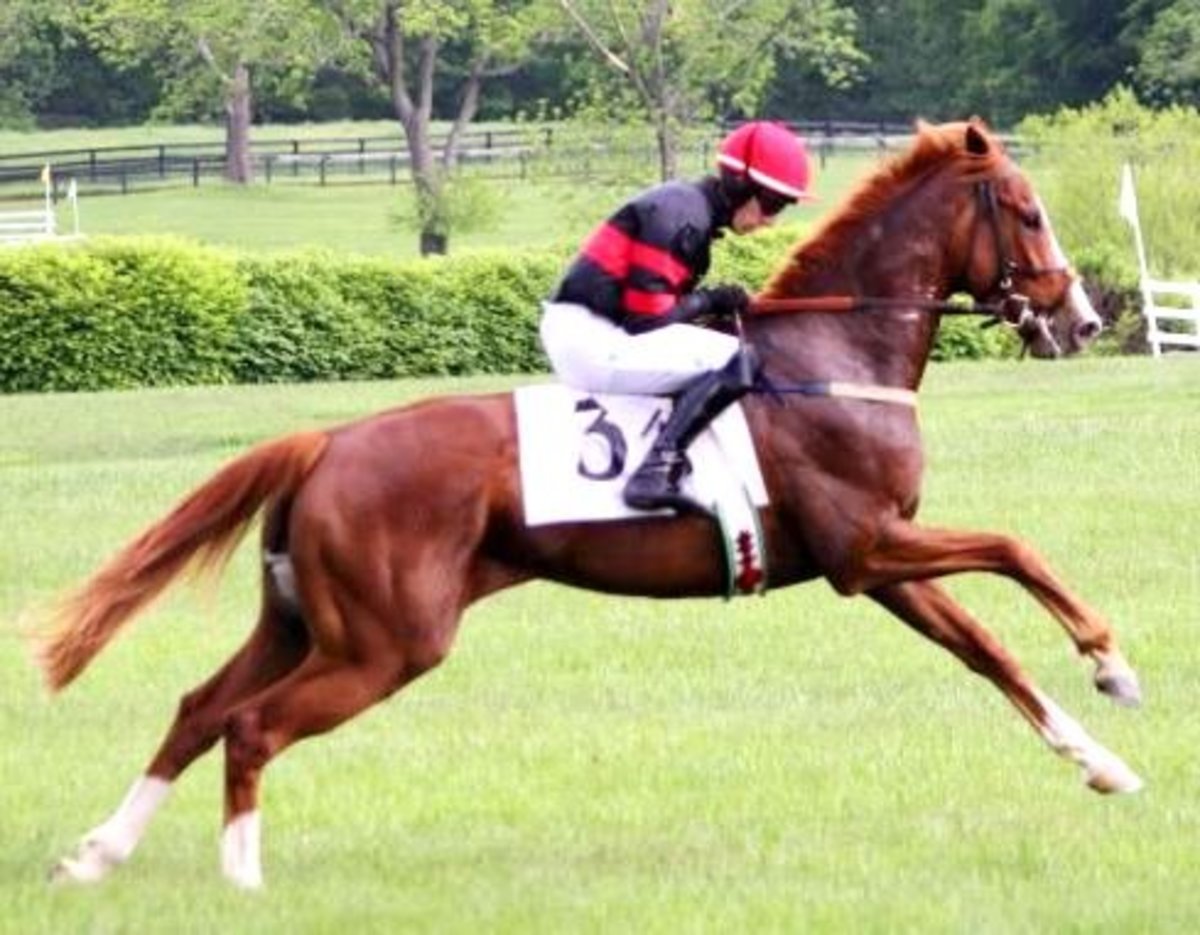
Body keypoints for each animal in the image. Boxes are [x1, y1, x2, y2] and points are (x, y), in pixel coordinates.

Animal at [39, 119, 1142, 889]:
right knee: (252, 727)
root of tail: (328, 445)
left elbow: (986, 650)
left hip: (305, 622)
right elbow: (1015, 546)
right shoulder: (868, 547)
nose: (1084, 319)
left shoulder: (875, 563)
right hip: (387, 642)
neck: (836, 351)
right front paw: (1112, 662)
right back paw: (241, 876)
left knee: (198, 710)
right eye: (1029, 212)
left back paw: (98, 852)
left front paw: (1103, 762)